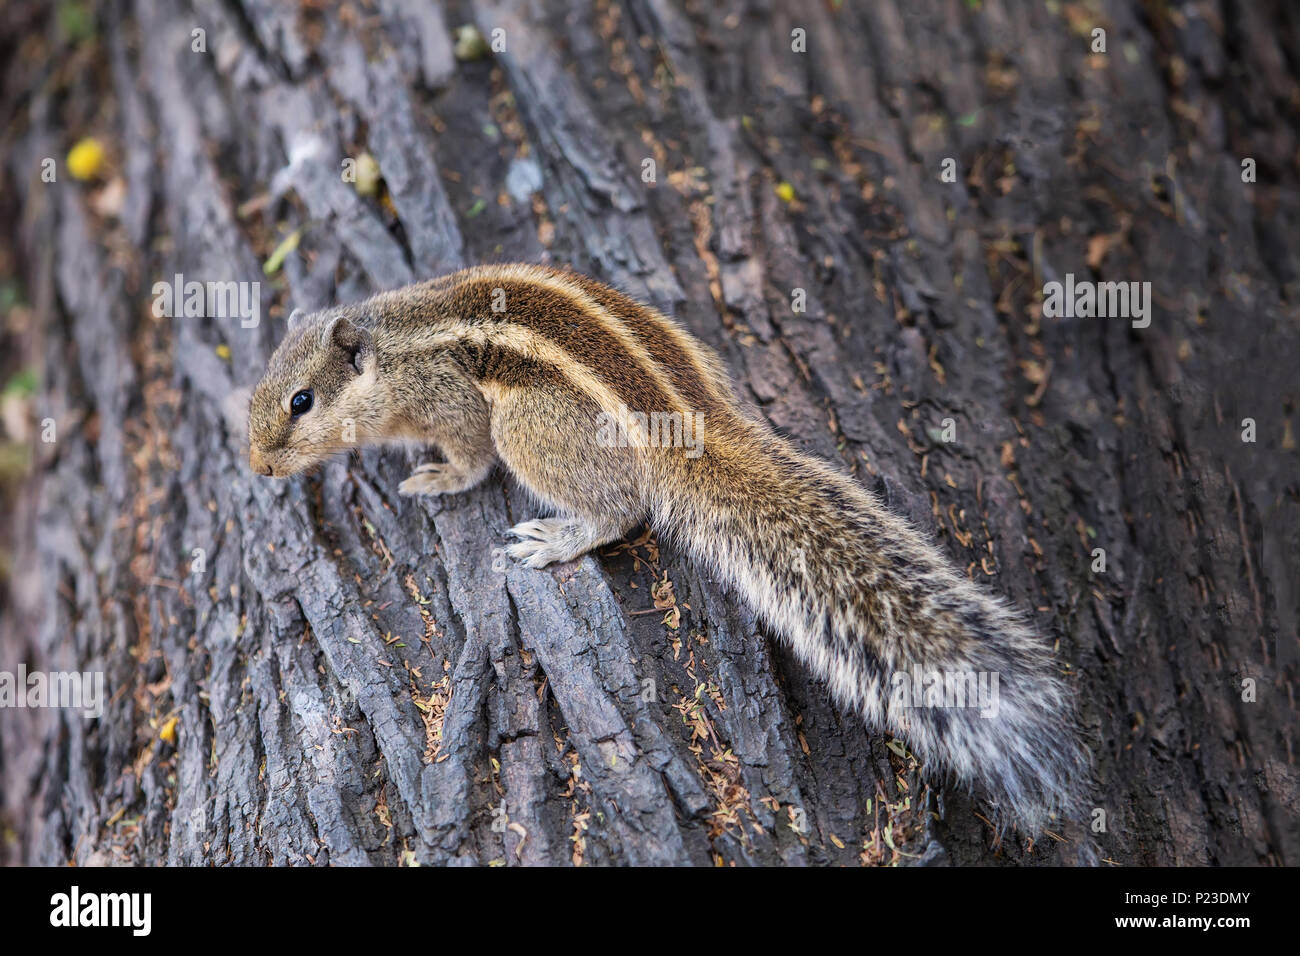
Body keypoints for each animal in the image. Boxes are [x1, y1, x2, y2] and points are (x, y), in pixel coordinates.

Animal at [248, 263, 1090, 836]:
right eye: (257, 390)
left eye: (301, 401)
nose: (257, 468)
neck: (394, 345)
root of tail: (696, 420)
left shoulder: (450, 401)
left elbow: (467, 457)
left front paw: (433, 478)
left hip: (534, 429)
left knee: (618, 509)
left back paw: (559, 536)